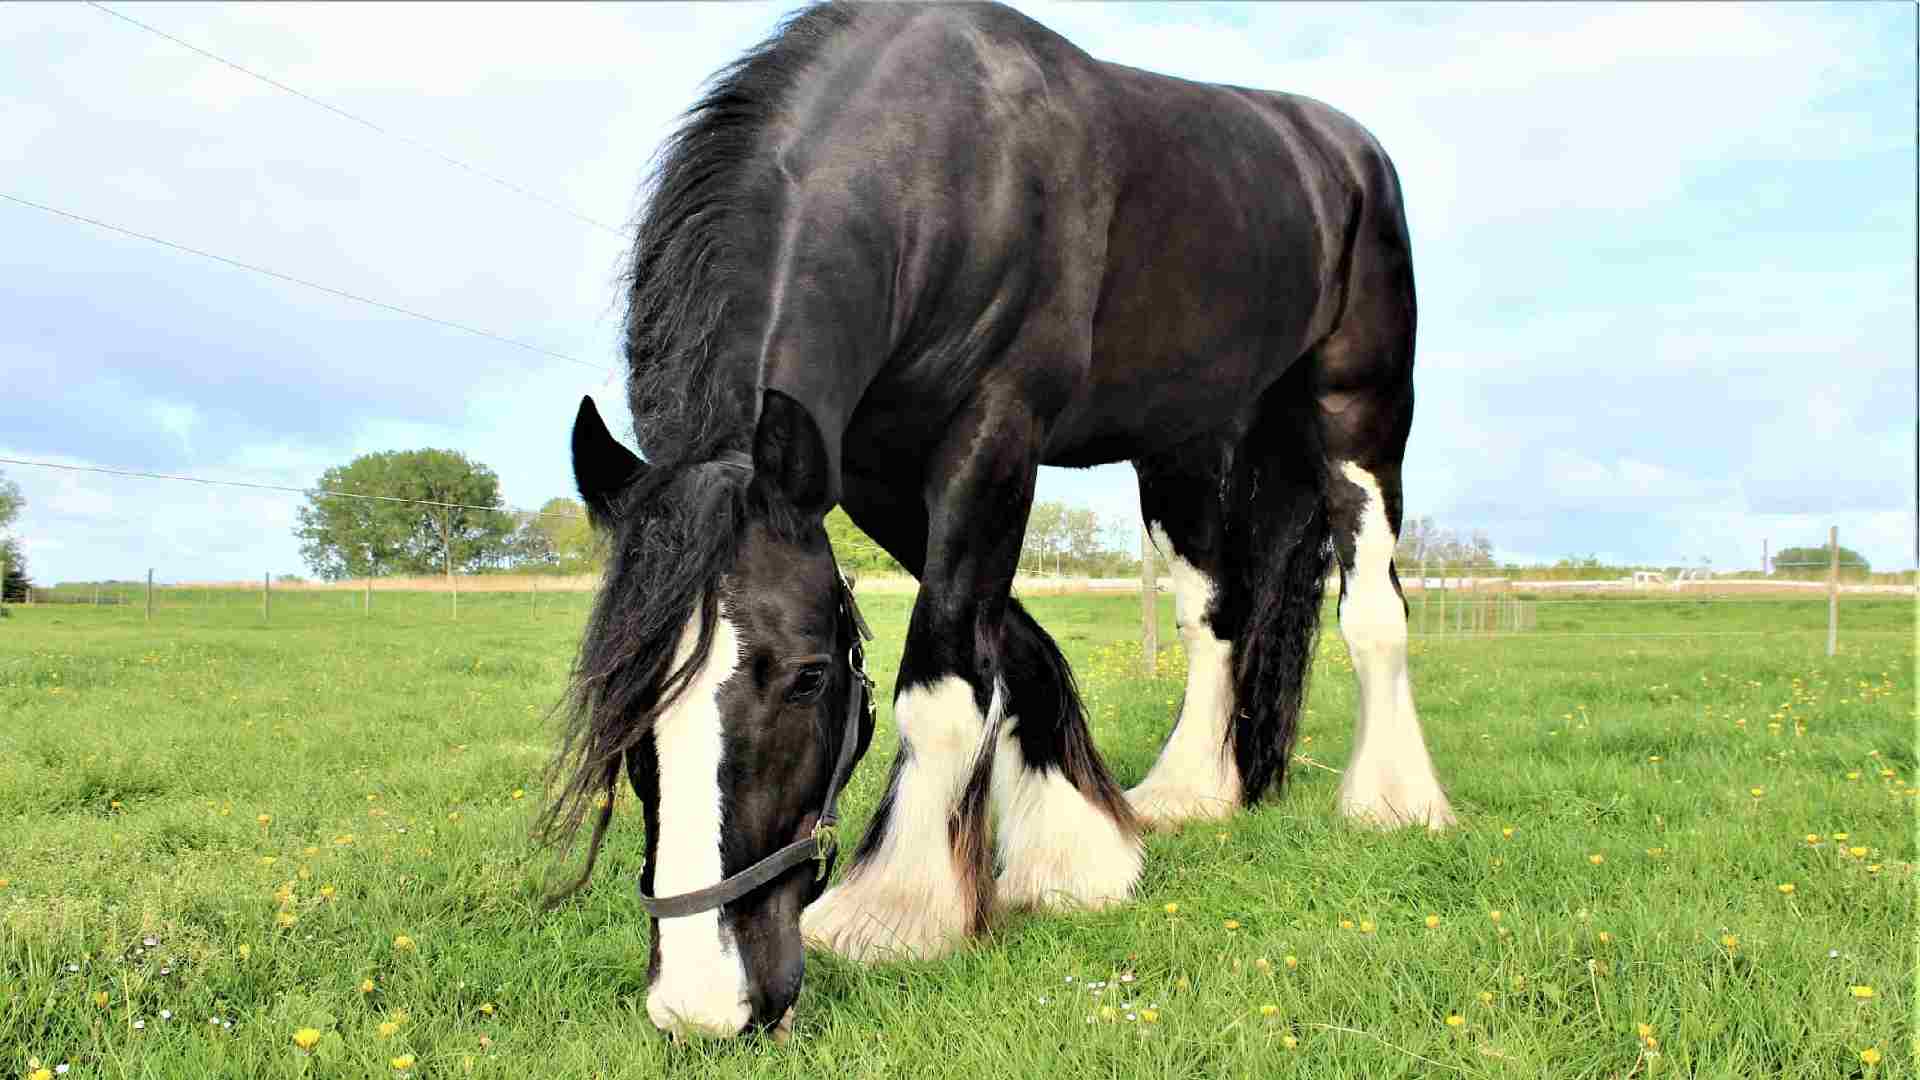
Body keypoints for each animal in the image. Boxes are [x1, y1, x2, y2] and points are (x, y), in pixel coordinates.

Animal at [538, 0, 1456, 1040]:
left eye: (810, 677)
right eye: (617, 698)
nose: (702, 1003)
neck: (945, 163)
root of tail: (1343, 149)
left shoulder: (994, 431)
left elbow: (940, 680)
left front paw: (897, 911)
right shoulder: (873, 472)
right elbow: (1004, 641)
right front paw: (1077, 848)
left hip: (1361, 409)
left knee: (1373, 609)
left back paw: (1393, 802)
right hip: (1181, 444)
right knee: (1216, 614)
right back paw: (1192, 793)